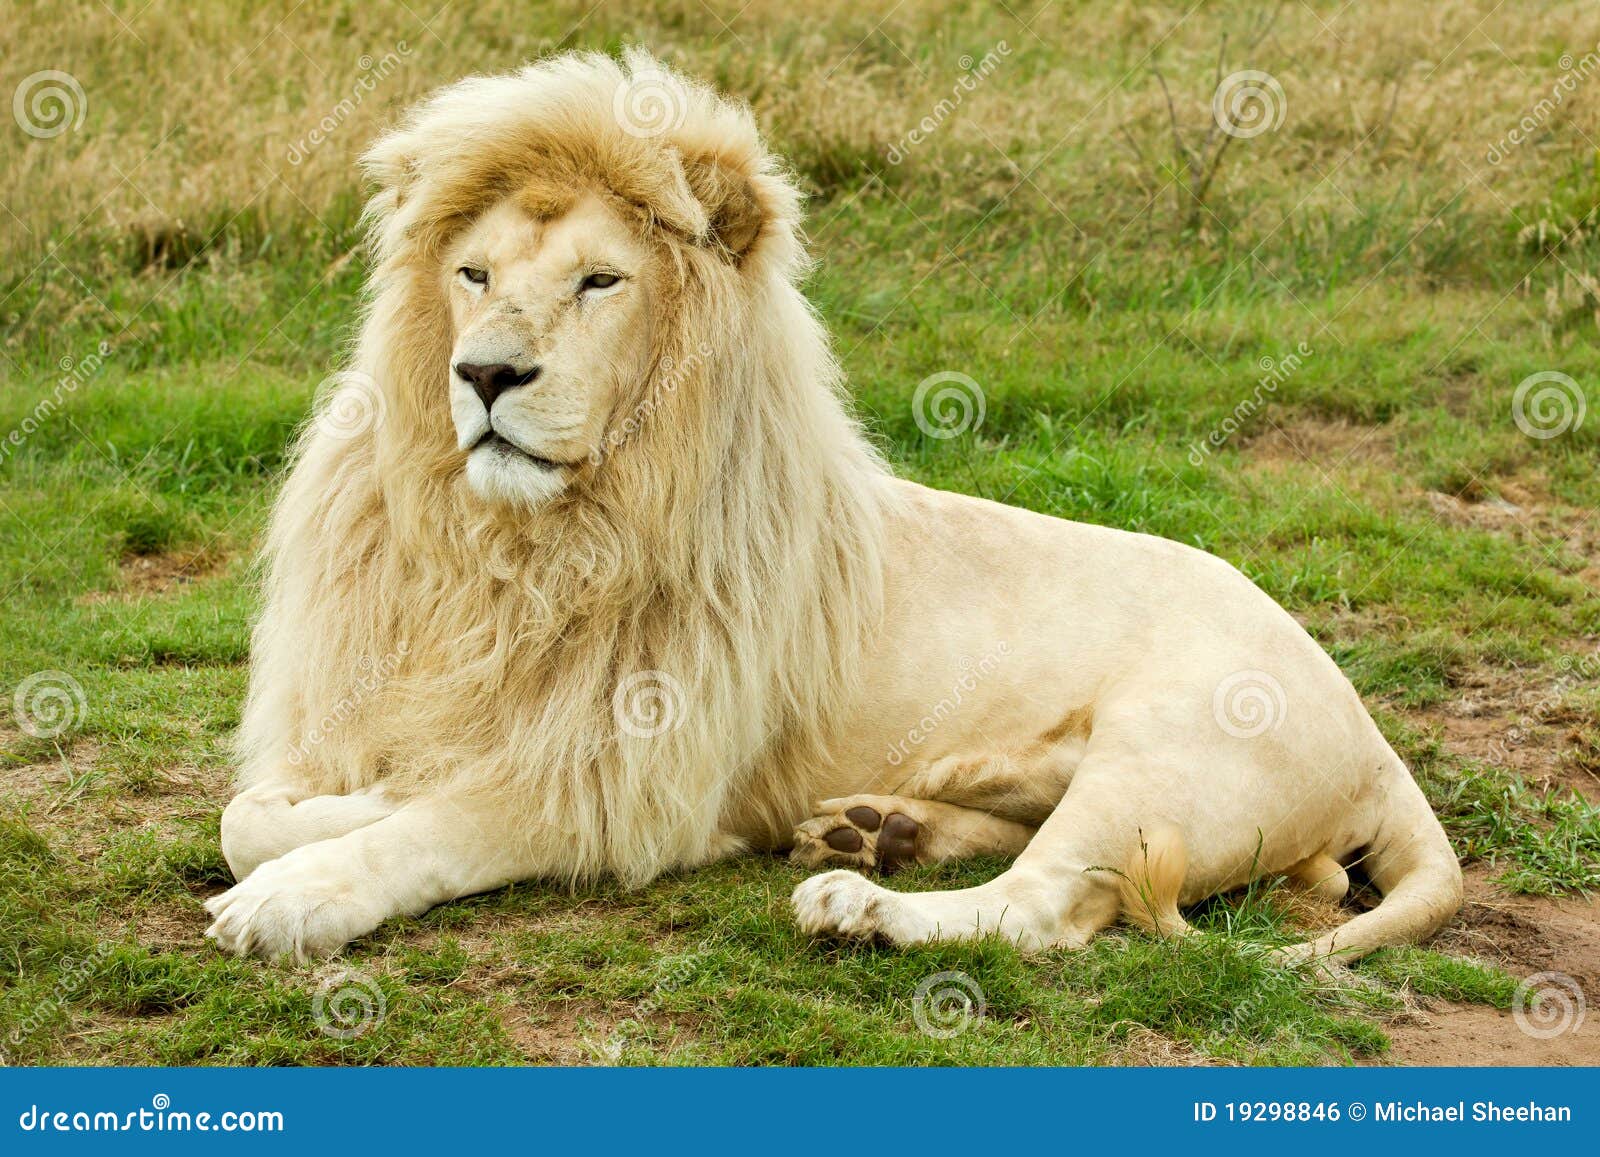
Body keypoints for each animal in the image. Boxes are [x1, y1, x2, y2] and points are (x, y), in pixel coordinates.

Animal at [206, 50, 1462, 966]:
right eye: (472, 274)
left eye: (599, 281)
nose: (484, 374)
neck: (514, 545)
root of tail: (1370, 735)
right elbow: (253, 811)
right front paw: (324, 815)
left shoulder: (629, 779)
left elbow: (431, 825)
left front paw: (296, 892)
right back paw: (879, 827)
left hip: (1162, 748)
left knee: (1044, 909)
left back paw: (861, 899)